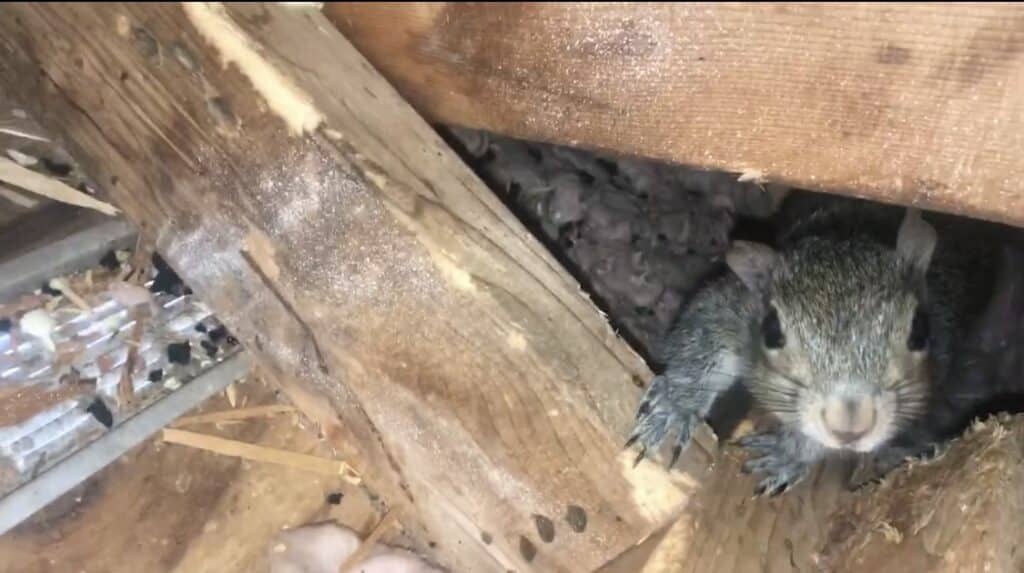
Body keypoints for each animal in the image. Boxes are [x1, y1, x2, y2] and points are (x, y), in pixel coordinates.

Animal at [627, 193, 1015, 496]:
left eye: (920, 331)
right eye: (771, 331)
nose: (850, 425)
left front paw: (789, 454)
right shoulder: (736, 306)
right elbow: (702, 335)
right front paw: (674, 407)